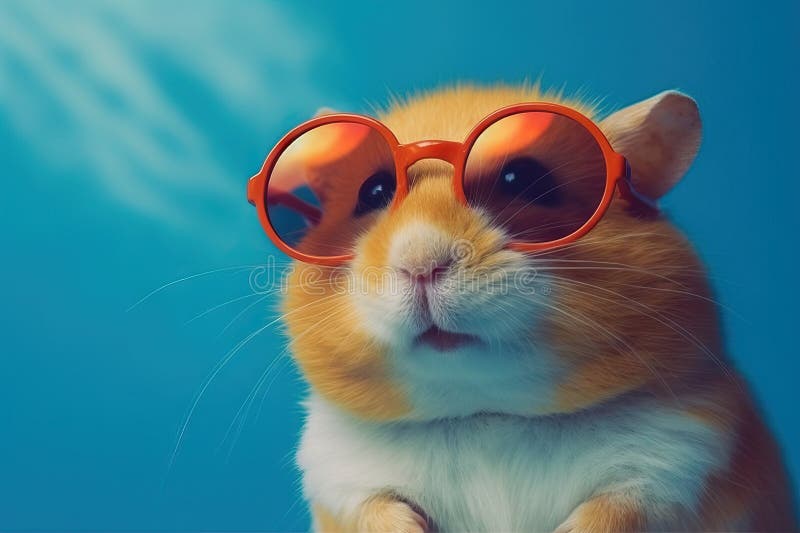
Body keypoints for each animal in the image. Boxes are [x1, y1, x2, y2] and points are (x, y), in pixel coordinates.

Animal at [279, 84, 796, 532]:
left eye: (522, 180)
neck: (487, 412)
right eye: (374, 193)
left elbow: (610, 511)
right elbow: (379, 510)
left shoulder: (674, 465)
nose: (421, 265)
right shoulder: (342, 480)